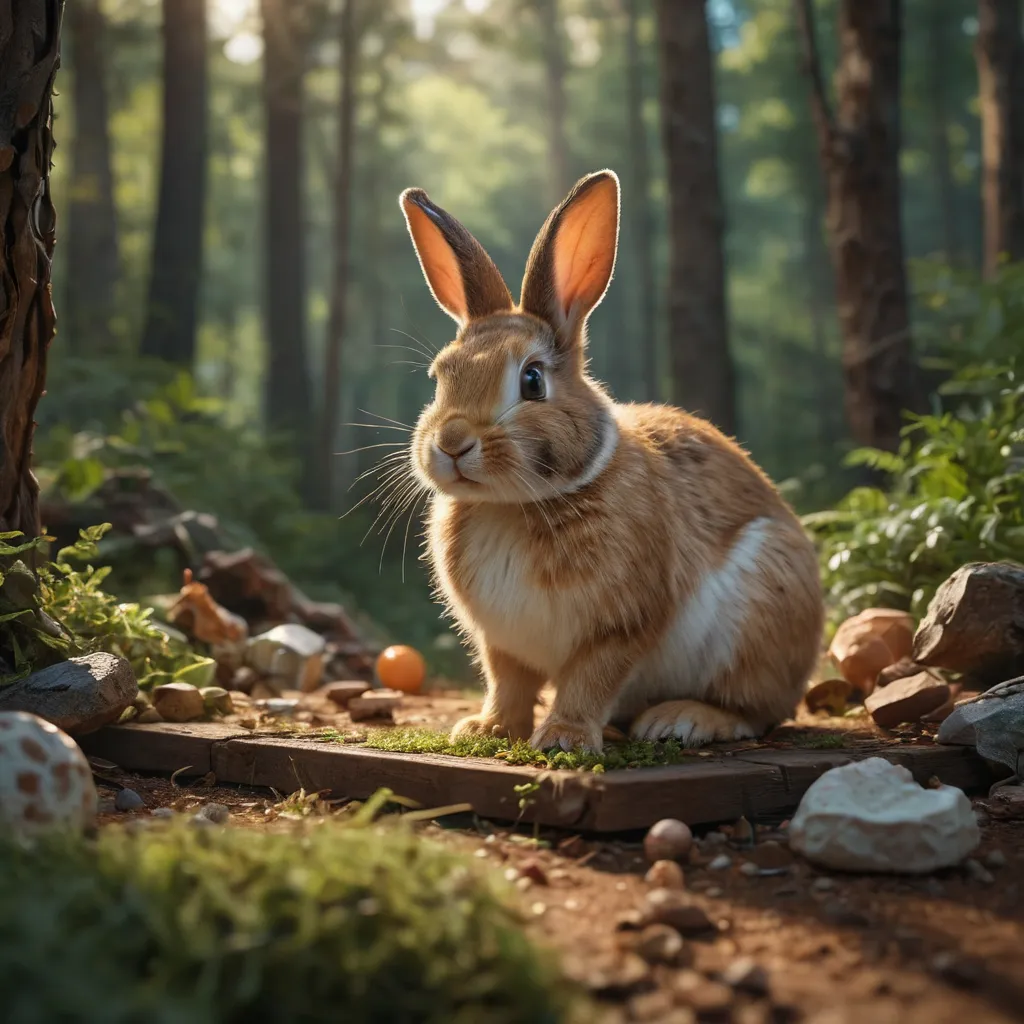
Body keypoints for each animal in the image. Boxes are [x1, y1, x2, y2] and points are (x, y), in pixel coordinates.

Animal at [398, 169, 824, 752]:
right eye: (441, 375)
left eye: (532, 381)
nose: (452, 441)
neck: (513, 505)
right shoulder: (501, 639)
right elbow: (508, 681)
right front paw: (486, 730)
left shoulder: (621, 625)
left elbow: (589, 679)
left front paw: (564, 739)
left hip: (760, 618)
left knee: (755, 711)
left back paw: (682, 721)